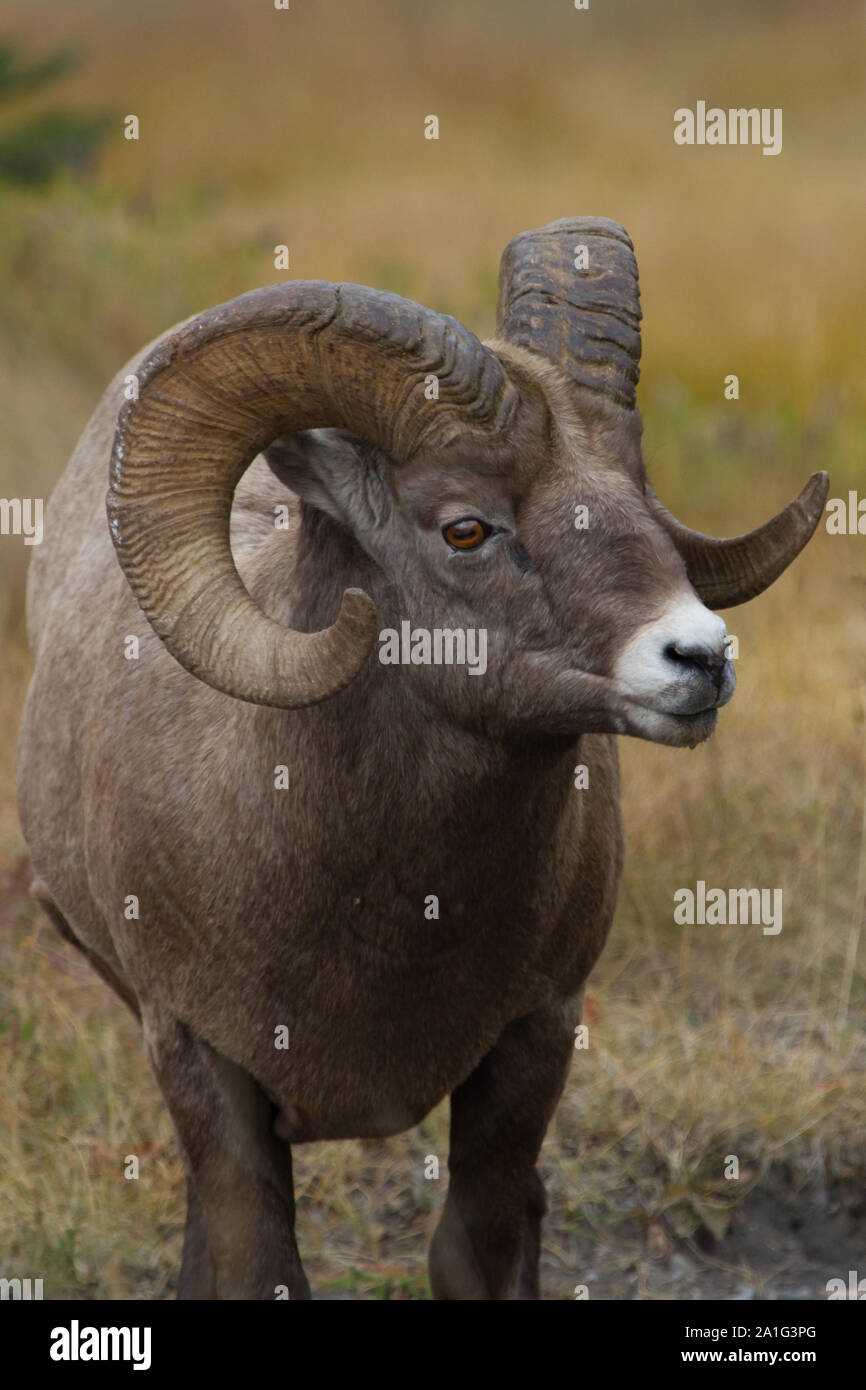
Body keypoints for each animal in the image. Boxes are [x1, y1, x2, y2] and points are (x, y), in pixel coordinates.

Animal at [16, 217, 827, 1300]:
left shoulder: (533, 1037)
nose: (699, 658)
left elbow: (475, 1245)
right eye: (466, 527)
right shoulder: (197, 1052)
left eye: (639, 495)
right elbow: (253, 1261)